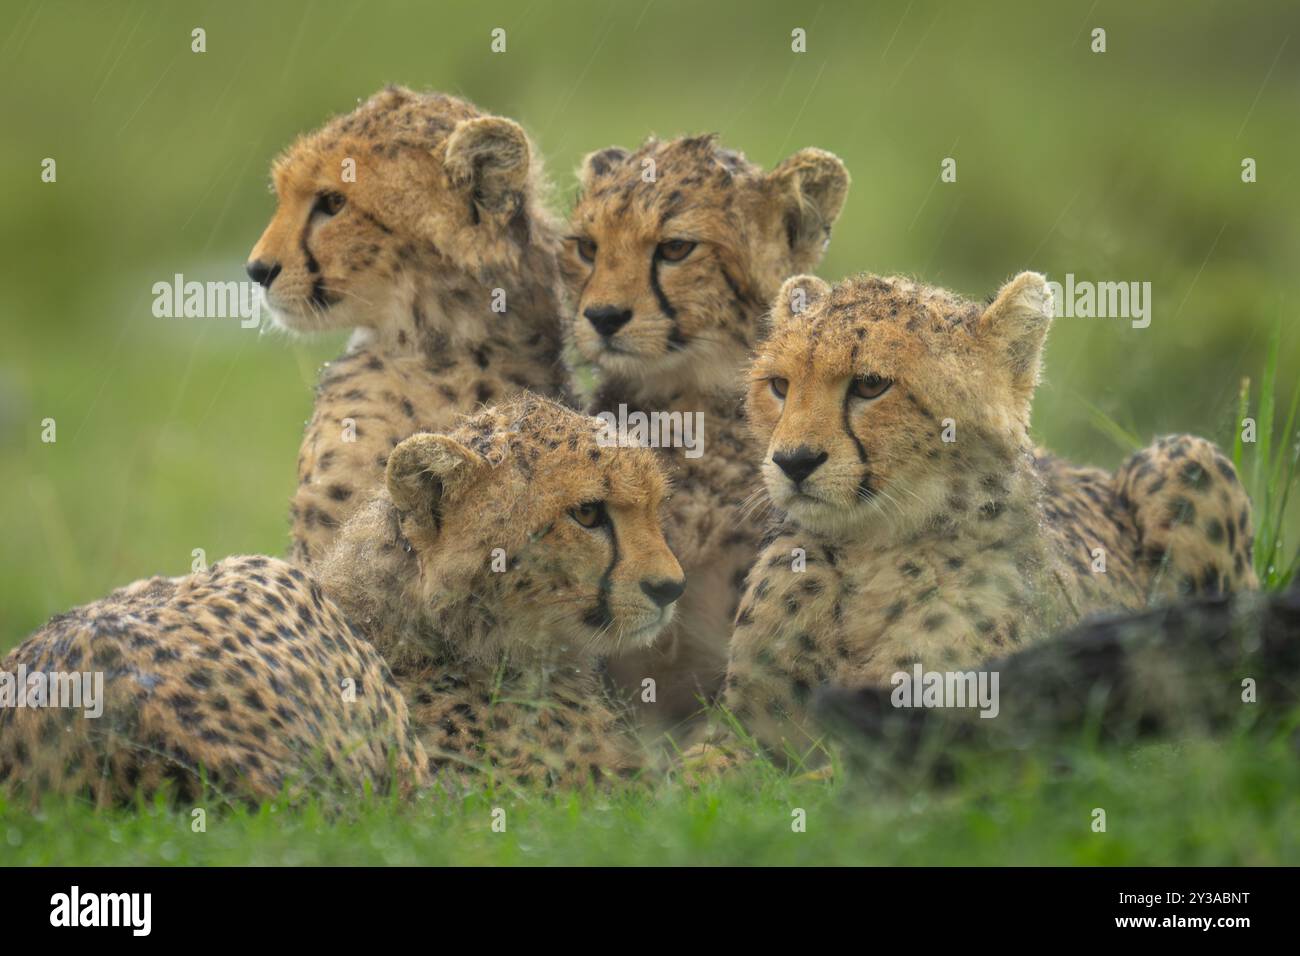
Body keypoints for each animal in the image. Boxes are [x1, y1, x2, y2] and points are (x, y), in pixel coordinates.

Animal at [716, 270, 1256, 767]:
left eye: (870, 385)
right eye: (779, 386)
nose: (793, 461)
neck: (866, 552)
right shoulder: (752, 734)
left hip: (1189, 458)